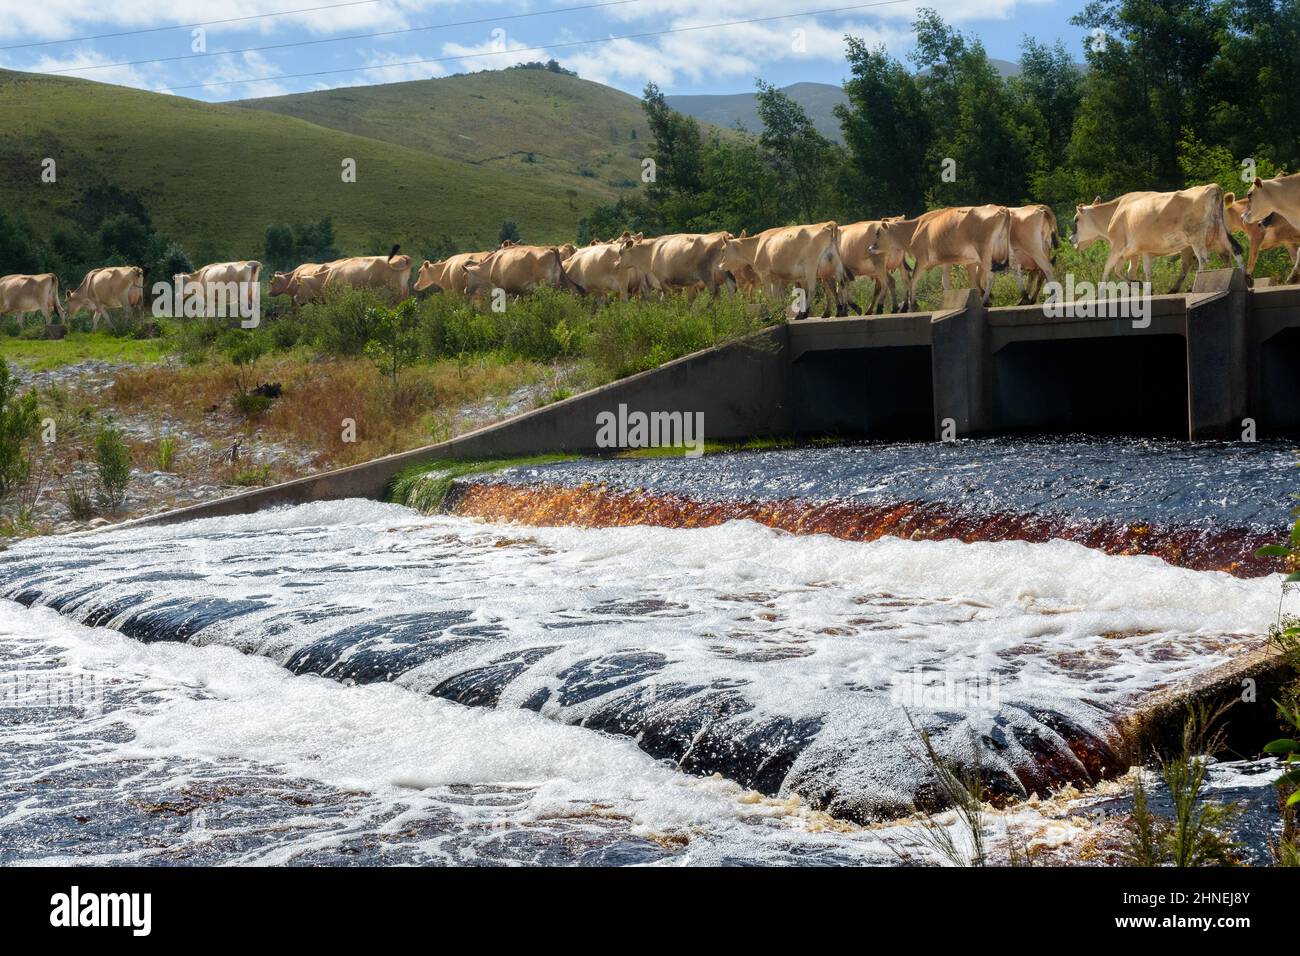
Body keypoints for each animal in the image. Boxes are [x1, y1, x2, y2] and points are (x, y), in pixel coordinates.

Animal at [720, 221, 854, 319]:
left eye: (722, 250)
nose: (720, 266)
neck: (757, 246)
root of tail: (828, 224)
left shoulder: (764, 274)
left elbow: (770, 295)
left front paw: (774, 313)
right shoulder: (777, 278)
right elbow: (779, 295)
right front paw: (779, 311)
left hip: (811, 267)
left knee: (813, 290)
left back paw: (803, 314)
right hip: (834, 264)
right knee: (840, 284)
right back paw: (842, 311)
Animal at [871, 205, 1014, 312]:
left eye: (877, 233)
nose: (870, 247)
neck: (915, 229)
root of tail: (1002, 209)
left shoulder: (922, 259)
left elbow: (914, 280)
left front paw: (913, 305)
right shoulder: (946, 261)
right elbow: (945, 282)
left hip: (985, 253)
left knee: (990, 277)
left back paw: (984, 301)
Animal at [1072, 185, 1243, 292]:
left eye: (1076, 219)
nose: (1070, 239)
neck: (1117, 211)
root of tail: (1212, 187)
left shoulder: (1118, 246)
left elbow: (1109, 269)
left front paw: (1102, 293)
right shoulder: (1140, 251)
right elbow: (1137, 271)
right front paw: (1143, 288)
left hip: (1196, 237)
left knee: (1202, 260)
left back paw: (1196, 286)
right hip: (1219, 233)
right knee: (1235, 251)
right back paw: (1244, 279)